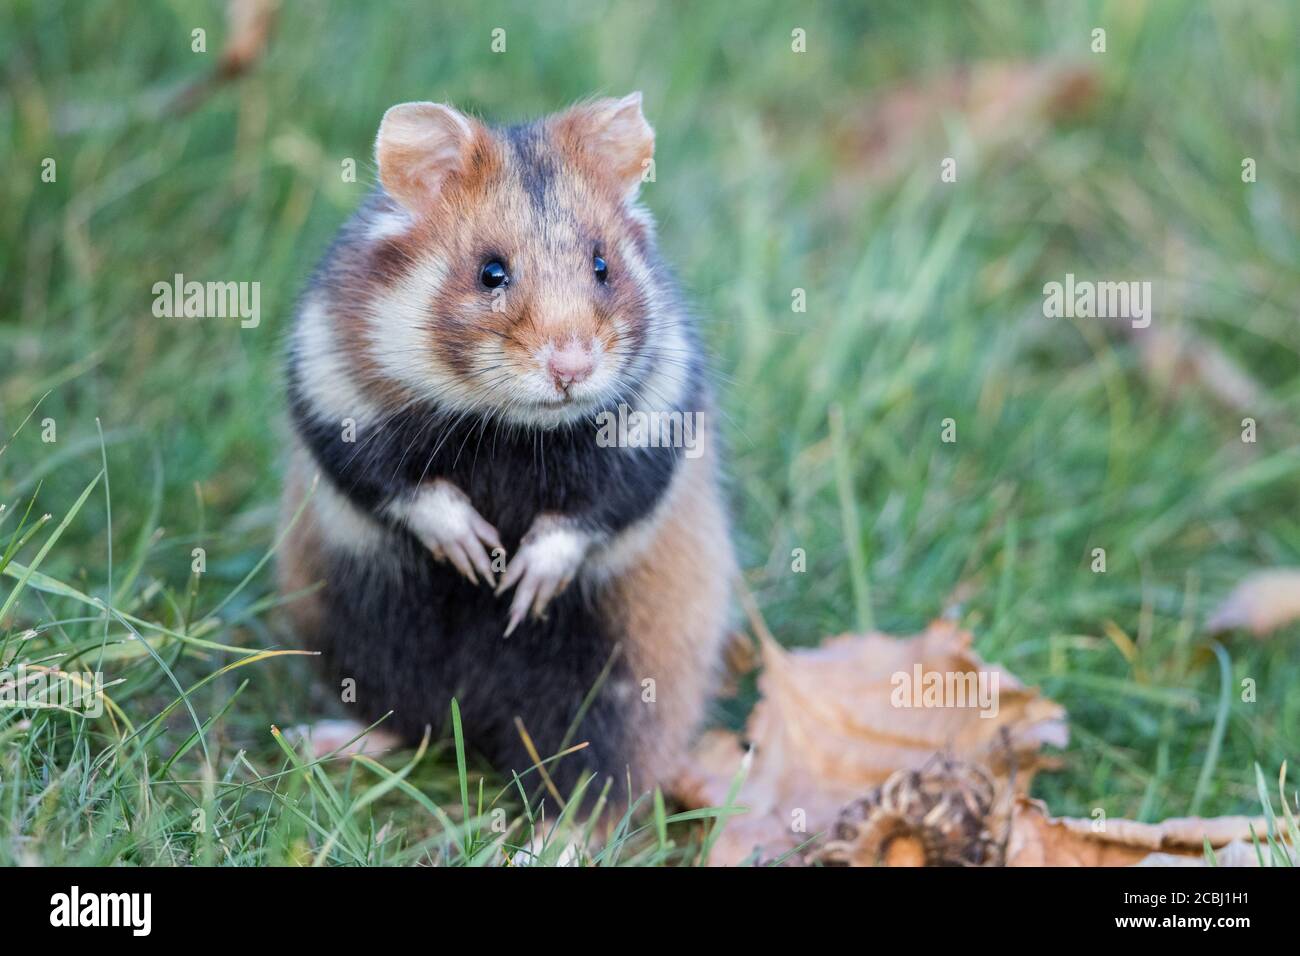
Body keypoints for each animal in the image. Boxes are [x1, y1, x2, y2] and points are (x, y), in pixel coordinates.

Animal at [277, 93, 734, 804]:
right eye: (491, 272)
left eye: (603, 266)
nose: (572, 368)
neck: (512, 427)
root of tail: (478, 725)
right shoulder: (333, 396)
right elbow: (403, 485)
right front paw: (477, 556)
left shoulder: (654, 430)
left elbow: (588, 515)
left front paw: (518, 588)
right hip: (349, 631)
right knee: (402, 720)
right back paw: (317, 743)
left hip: (625, 681)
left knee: (595, 780)